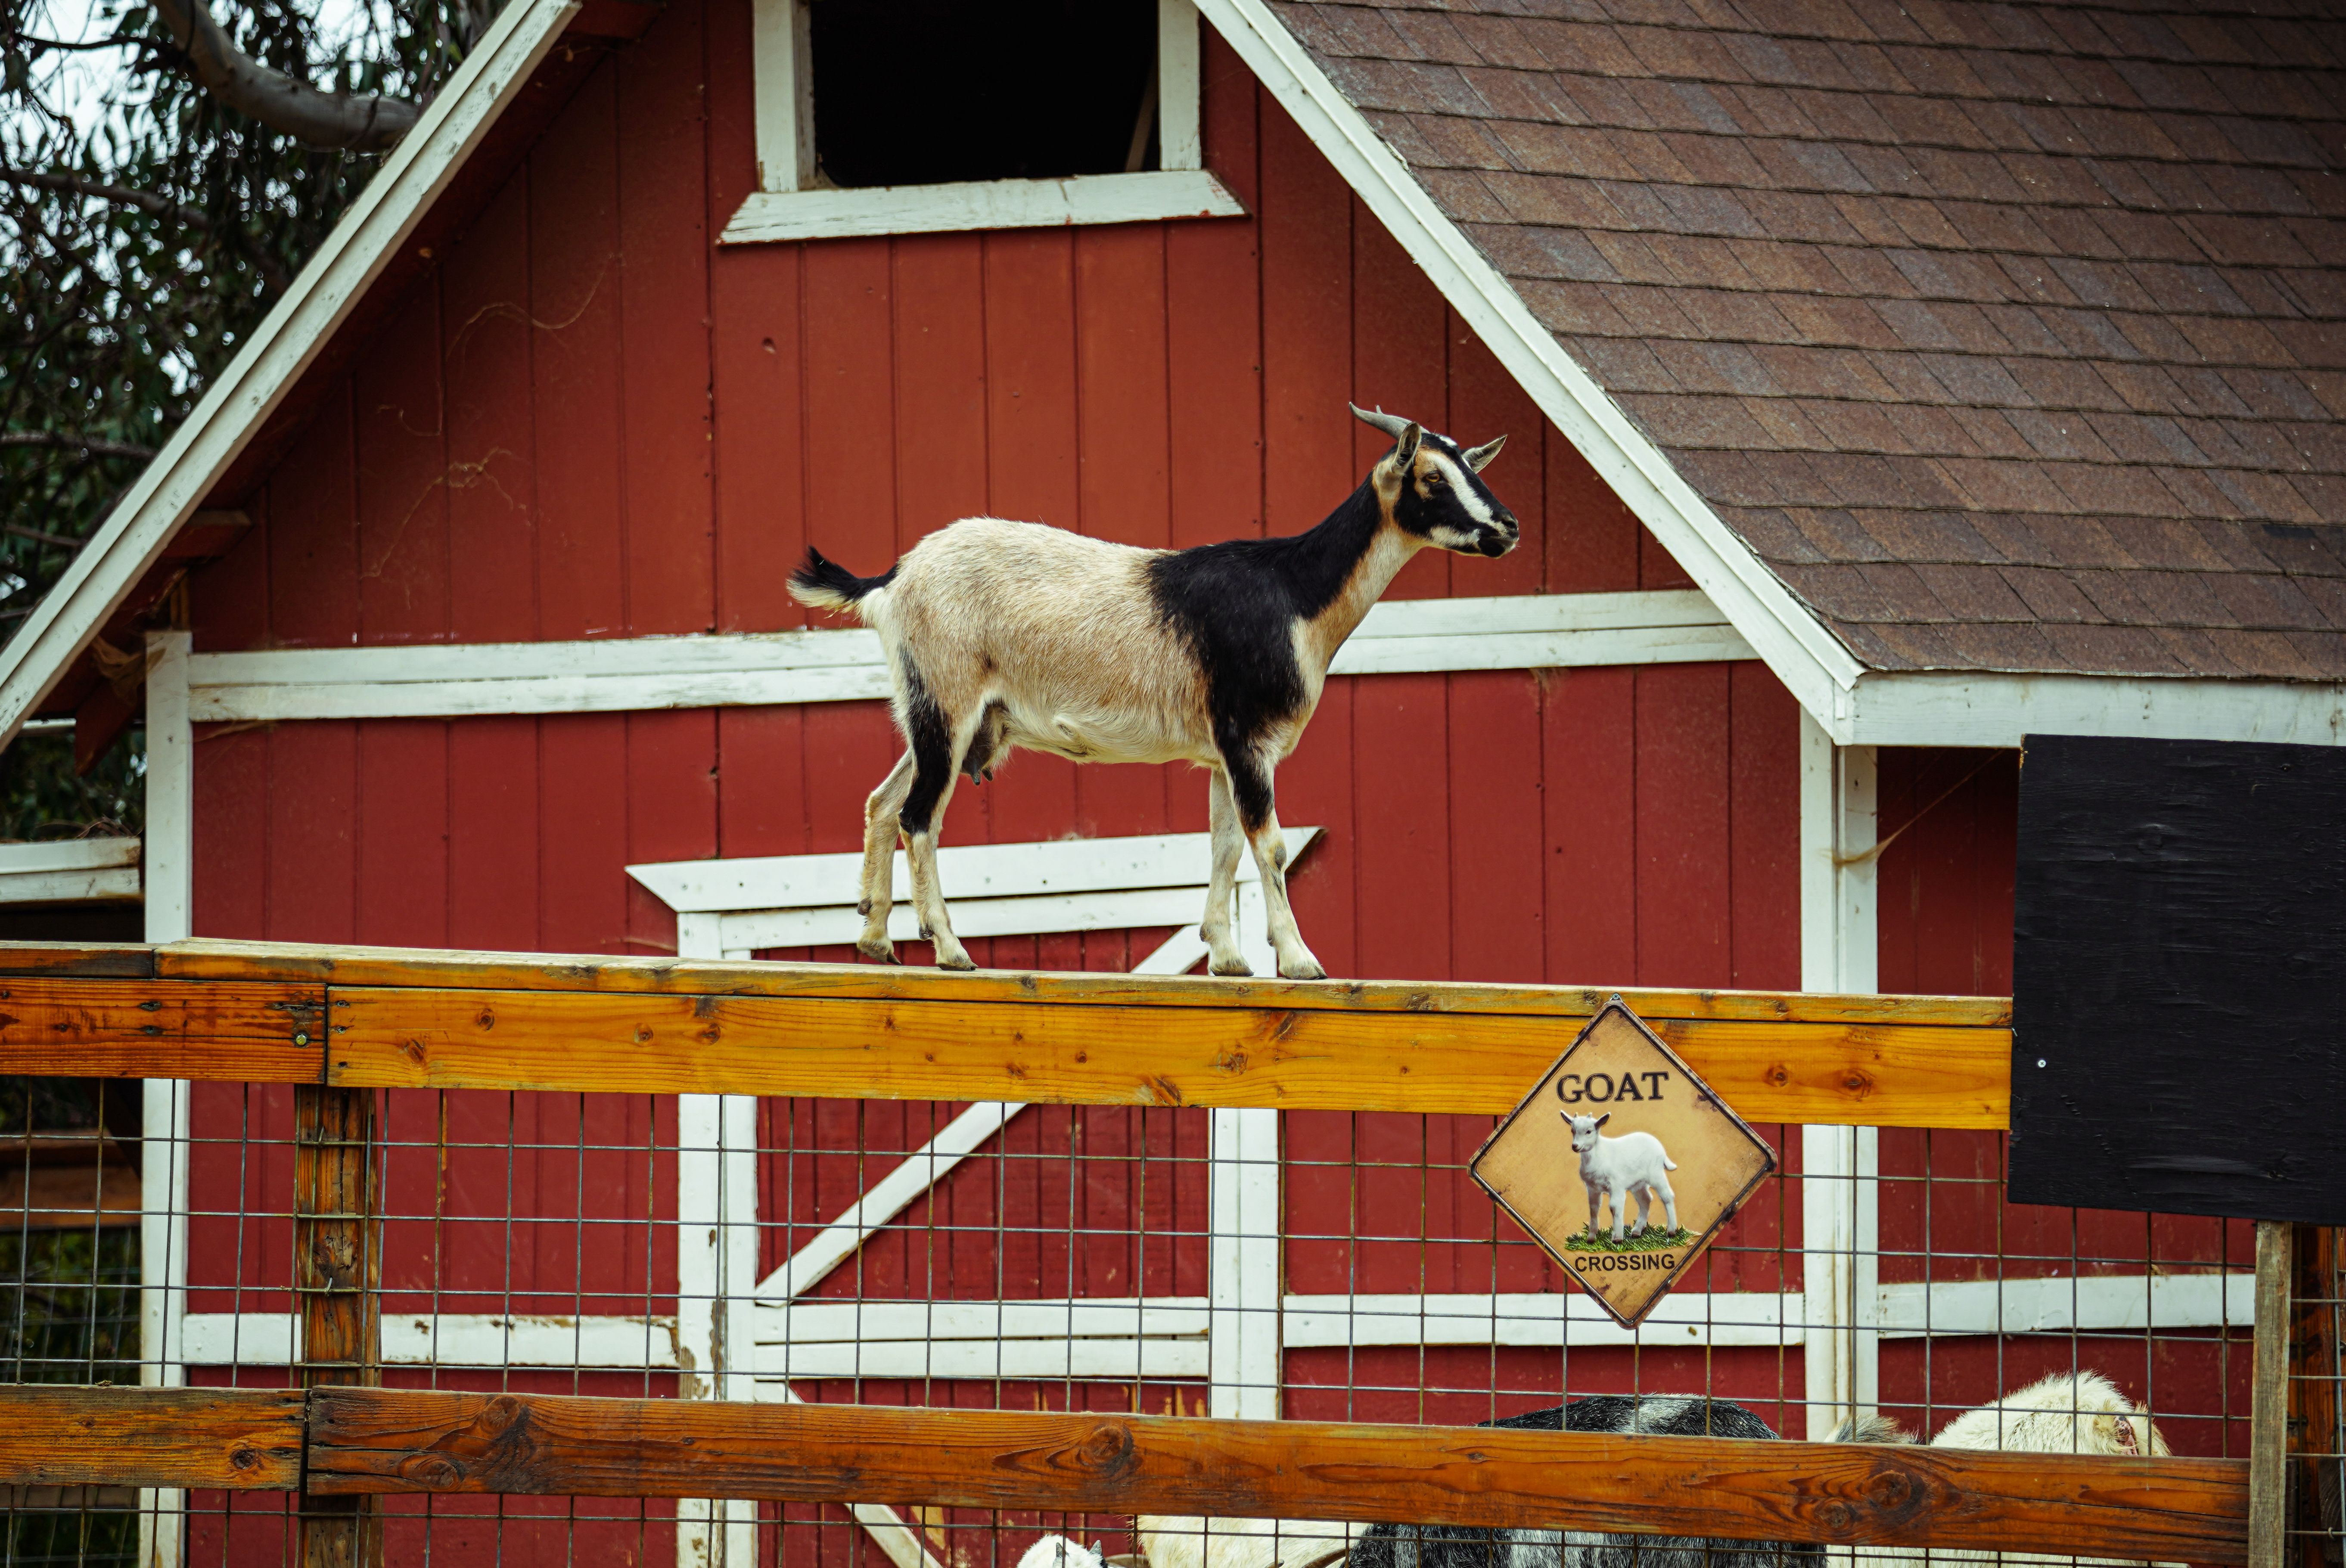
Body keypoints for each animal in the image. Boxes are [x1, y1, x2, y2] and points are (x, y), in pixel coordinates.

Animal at [788, 404, 1519, 979]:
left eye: (1472, 467)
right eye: (1432, 476)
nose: (1507, 527)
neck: (1293, 594)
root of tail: (893, 579)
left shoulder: (1222, 752)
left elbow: (1225, 844)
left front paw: (1227, 956)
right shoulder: (1247, 738)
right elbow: (1271, 846)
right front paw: (1298, 960)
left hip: (931, 708)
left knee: (883, 803)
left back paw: (875, 940)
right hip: (949, 698)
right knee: (918, 817)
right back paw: (949, 949)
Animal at [1565, 1111, 1679, 1243]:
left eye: (1589, 1131)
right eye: (1572, 1130)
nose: (1575, 1146)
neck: (1600, 1155)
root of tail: (1661, 1149)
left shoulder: (1616, 1185)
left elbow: (1615, 1207)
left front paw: (1617, 1238)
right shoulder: (1592, 1188)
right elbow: (1594, 1209)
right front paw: (1591, 1238)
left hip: (1656, 1174)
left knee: (1667, 1196)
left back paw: (1671, 1231)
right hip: (1638, 1183)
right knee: (1645, 1199)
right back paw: (1637, 1231)